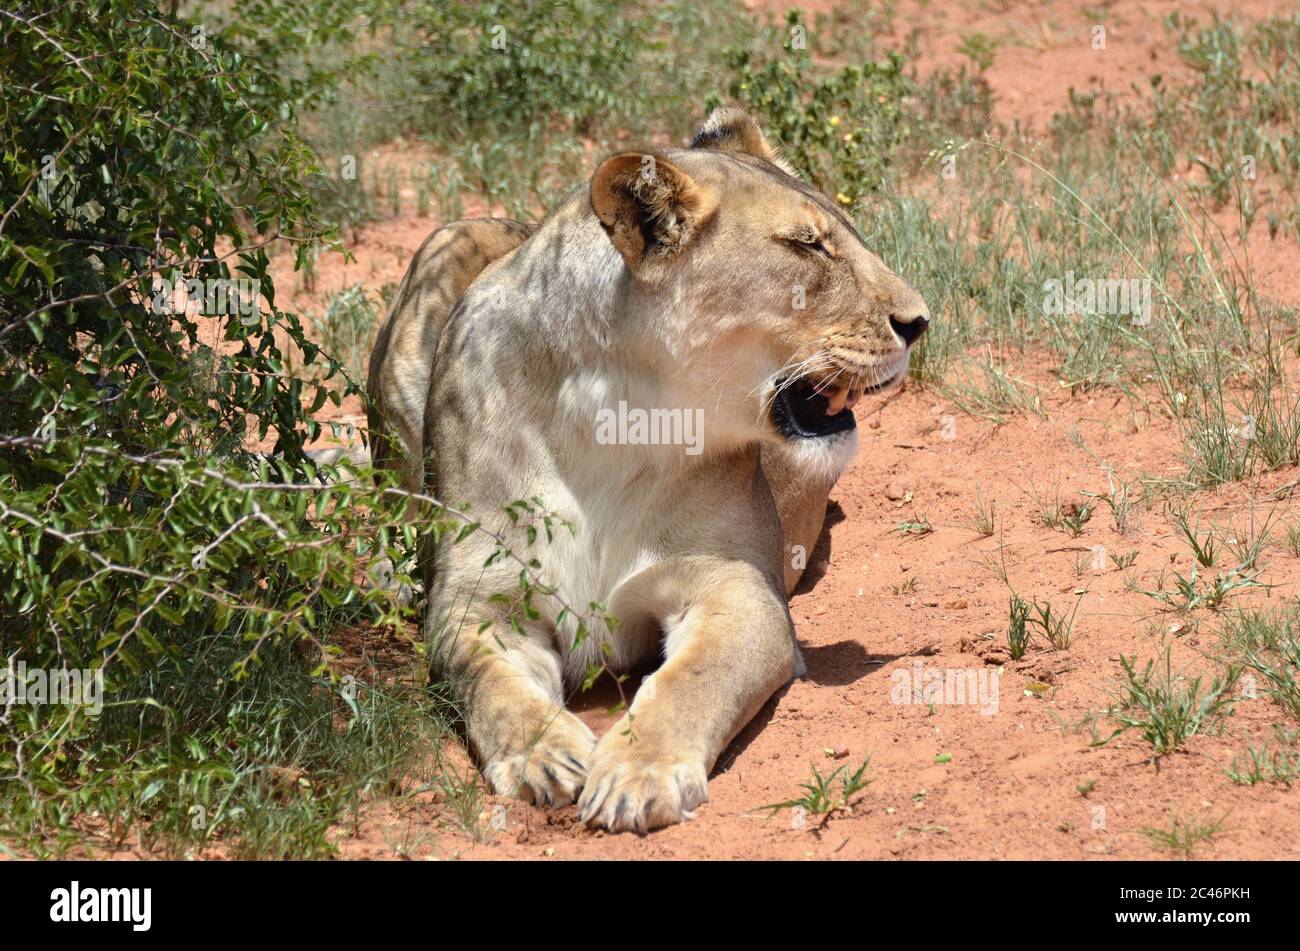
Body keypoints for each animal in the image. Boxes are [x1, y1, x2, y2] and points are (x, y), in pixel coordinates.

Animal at [366, 109, 929, 833]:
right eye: (808, 246)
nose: (919, 322)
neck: (614, 421)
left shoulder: (738, 588)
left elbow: (690, 681)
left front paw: (638, 773)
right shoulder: (477, 599)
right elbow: (487, 680)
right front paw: (543, 754)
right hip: (444, 241)